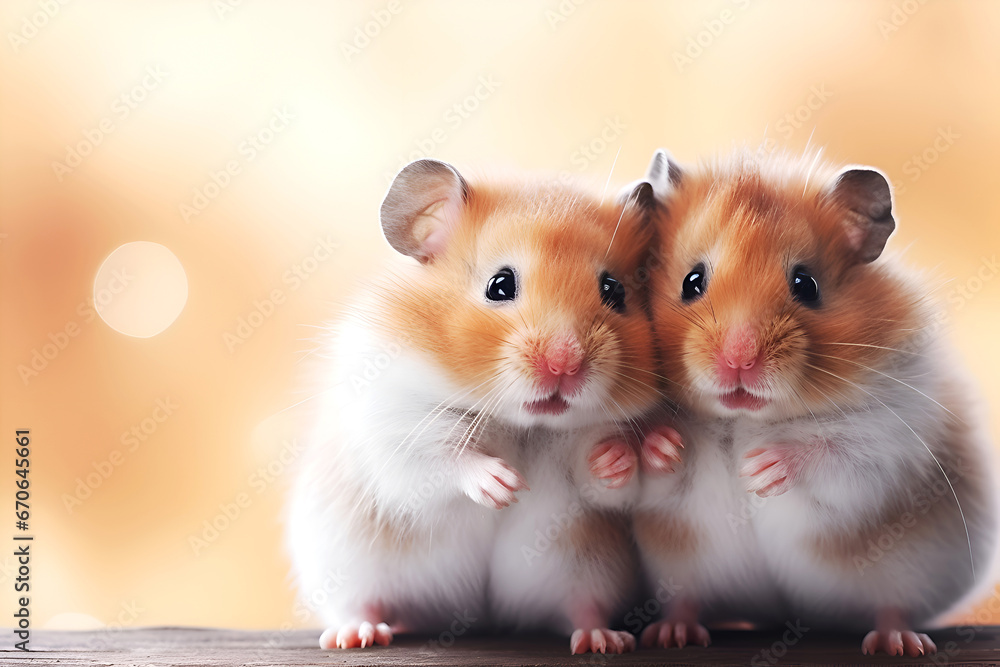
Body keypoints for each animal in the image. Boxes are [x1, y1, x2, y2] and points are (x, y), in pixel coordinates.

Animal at [285, 157, 666, 652]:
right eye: (499, 285)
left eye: (614, 290)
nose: (564, 364)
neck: (524, 424)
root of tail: (481, 613)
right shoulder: (396, 424)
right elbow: (445, 459)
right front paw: (503, 486)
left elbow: (604, 479)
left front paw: (614, 457)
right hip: (344, 563)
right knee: (360, 604)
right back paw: (356, 636)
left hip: (583, 569)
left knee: (581, 609)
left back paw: (603, 640)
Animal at [628, 148, 998, 656]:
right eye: (692, 281)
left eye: (806, 284)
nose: (739, 361)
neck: (741, 420)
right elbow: (657, 473)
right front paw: (666, 445)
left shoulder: (890, 439)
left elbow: (833, 456)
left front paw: (759, 469)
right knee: (686, 602)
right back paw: (673, 634)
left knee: (892, 608)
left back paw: (900, 643)